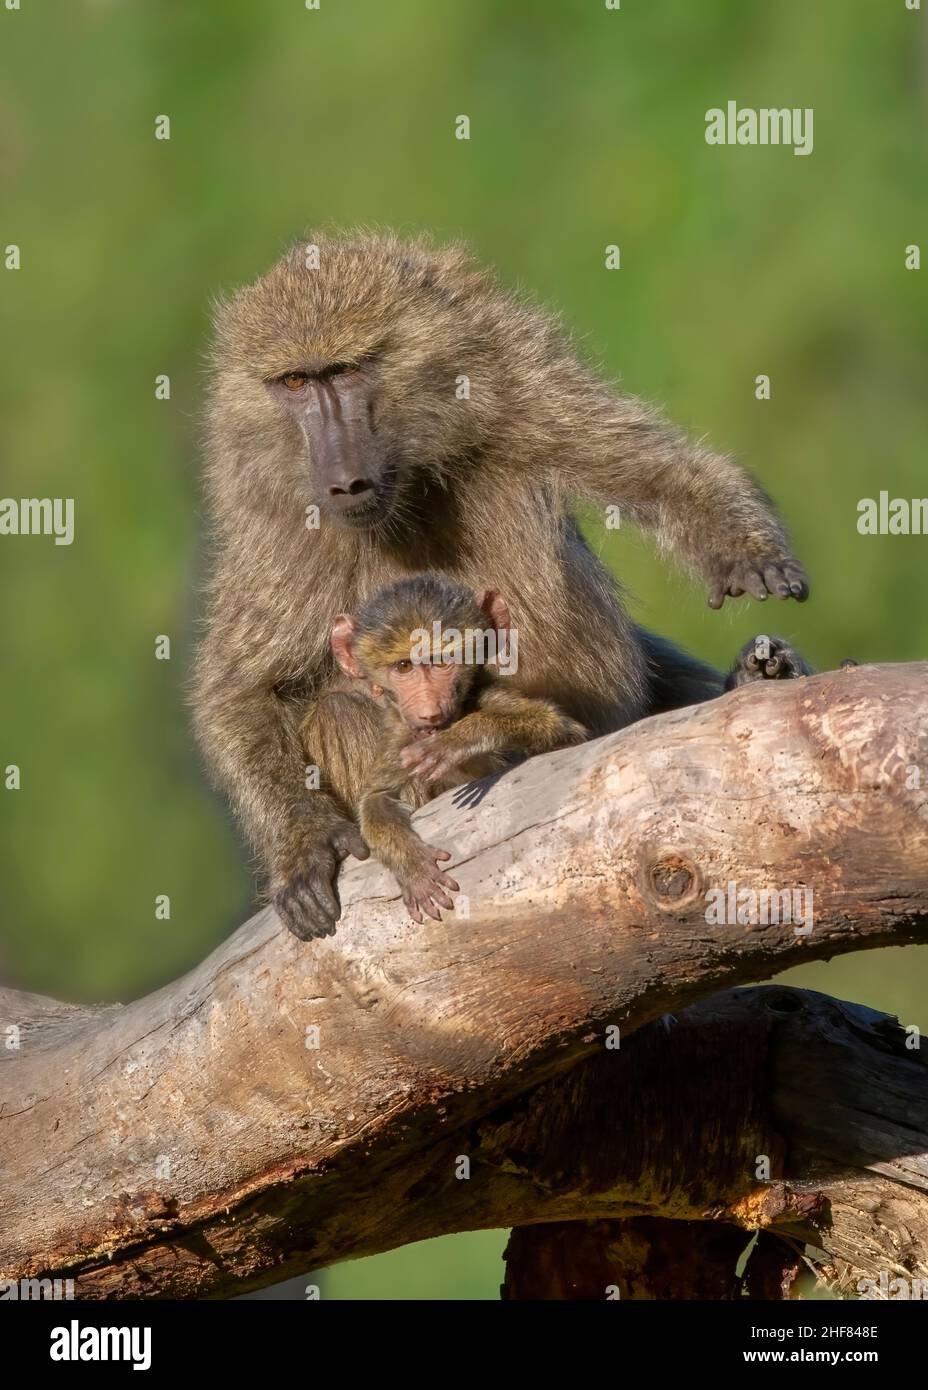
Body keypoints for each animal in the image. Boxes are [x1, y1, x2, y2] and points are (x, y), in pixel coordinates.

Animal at [311, 573, 587, 924]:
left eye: (442, 663)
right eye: (404, 667)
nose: (429, 711)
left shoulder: (489, 698)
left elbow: (566, 734)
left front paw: (458, 741)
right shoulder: (400, 738)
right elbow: (375, 798)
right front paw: (414, 866)